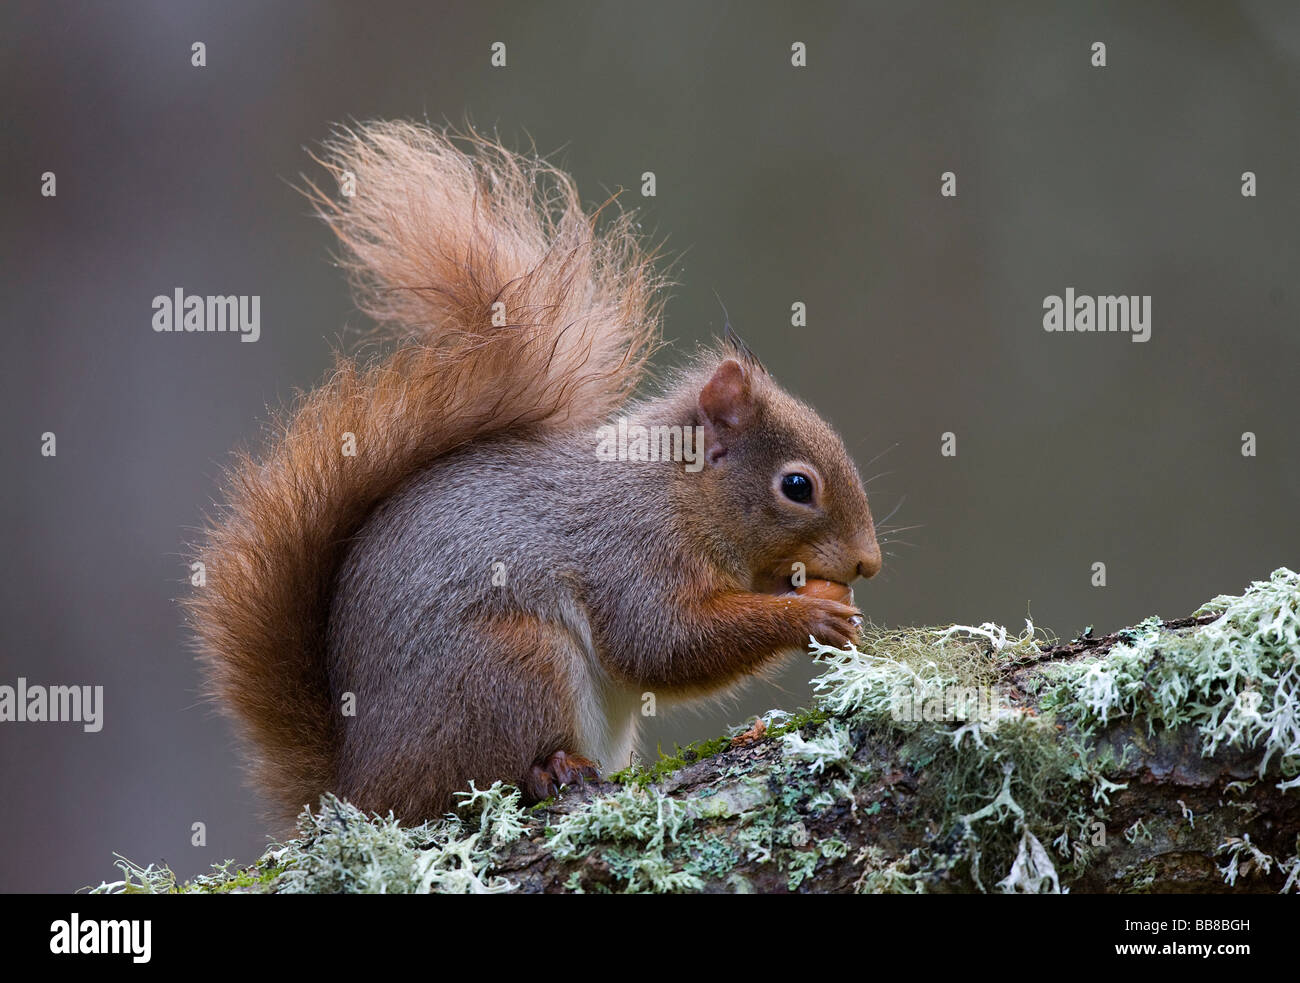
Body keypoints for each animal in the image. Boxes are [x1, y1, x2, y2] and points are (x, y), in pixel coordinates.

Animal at [188, 121, 882, 828]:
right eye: (797, 486)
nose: (868, 563)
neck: (678, 488)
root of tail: (359, 785)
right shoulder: (632, 549)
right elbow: (663, 641)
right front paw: (811, 615)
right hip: (512, 663)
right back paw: (547, 768)